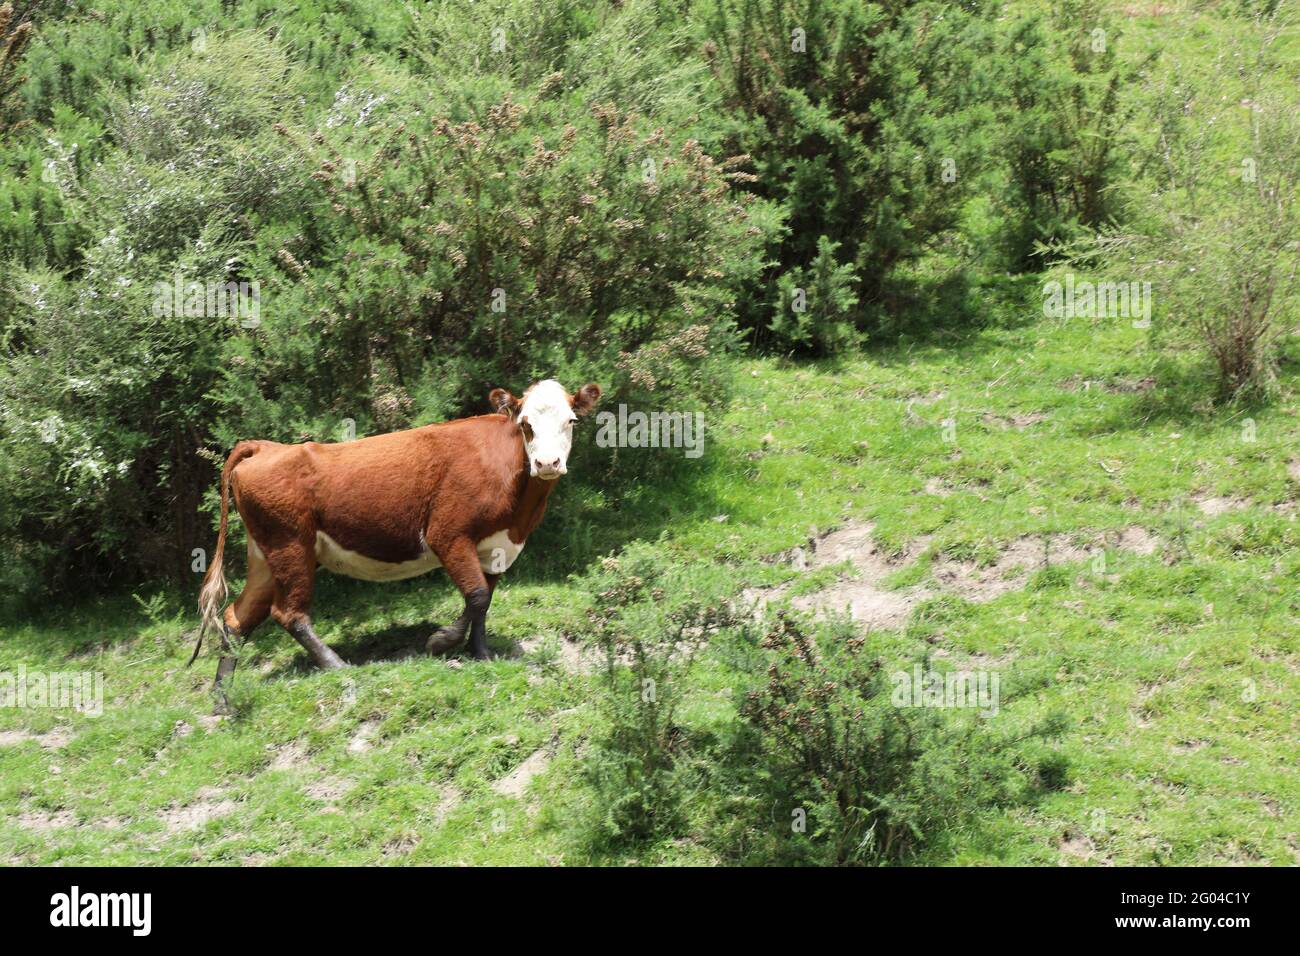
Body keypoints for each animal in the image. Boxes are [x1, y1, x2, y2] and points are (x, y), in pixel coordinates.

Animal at [192, 379, 601, 712]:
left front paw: (481, 653)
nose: (547, 462)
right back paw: (336, 665)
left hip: (266, 555)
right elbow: (476, 595)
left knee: (237, 617)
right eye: (525, 423)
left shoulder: (499, 549)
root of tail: (267, 447)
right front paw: (440, 642)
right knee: (289, 614)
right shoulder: (448, 534)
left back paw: (222, 696)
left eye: (571, 421)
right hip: (291, 546)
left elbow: (483, 602)